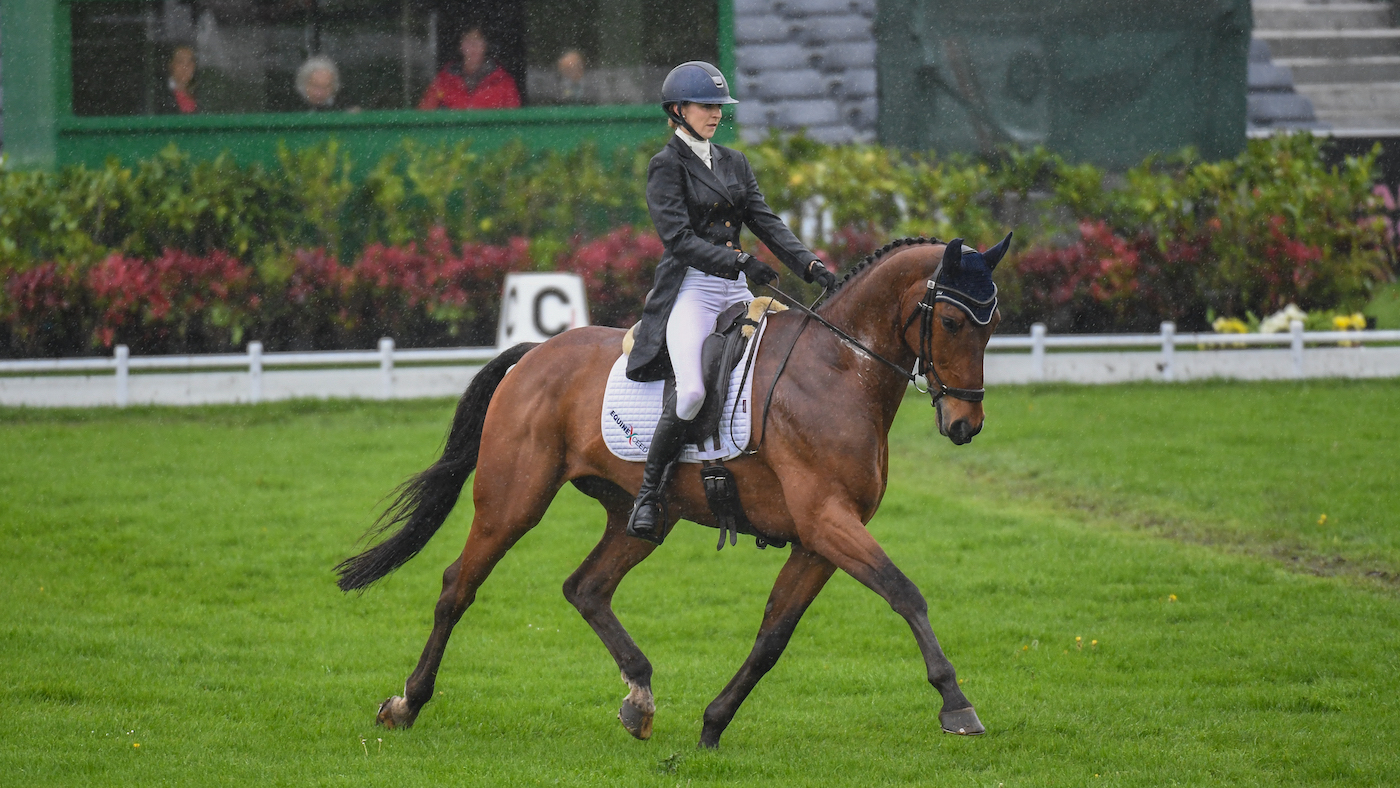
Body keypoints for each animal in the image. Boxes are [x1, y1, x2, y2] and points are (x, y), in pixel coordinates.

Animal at [336, 234, 1008, 747]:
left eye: (993, 326)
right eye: (952, 321)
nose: (965, 424)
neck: (838, 370)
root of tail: (536, 352)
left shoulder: (818, 539)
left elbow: (773, 635)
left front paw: (713, 724)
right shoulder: (827, 520)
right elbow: (905, 592)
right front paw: (956, 703)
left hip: (643, 515)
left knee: (586, 587)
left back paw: (639, 697)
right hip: (512, 503)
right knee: (459, 586)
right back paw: (407, 703)